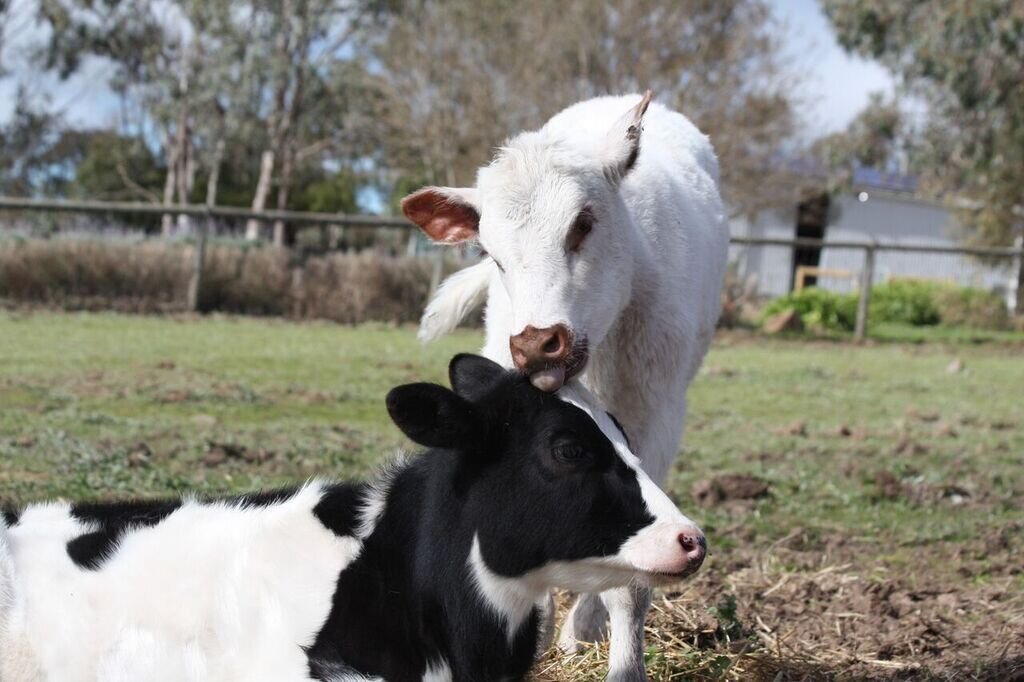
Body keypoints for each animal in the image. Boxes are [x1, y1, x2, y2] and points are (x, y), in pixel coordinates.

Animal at [401, 93, 729, 679]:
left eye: (583, 223)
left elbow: (633, 571)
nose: (535, 344)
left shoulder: (655, 419)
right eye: (492, 253)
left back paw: (583, 629)